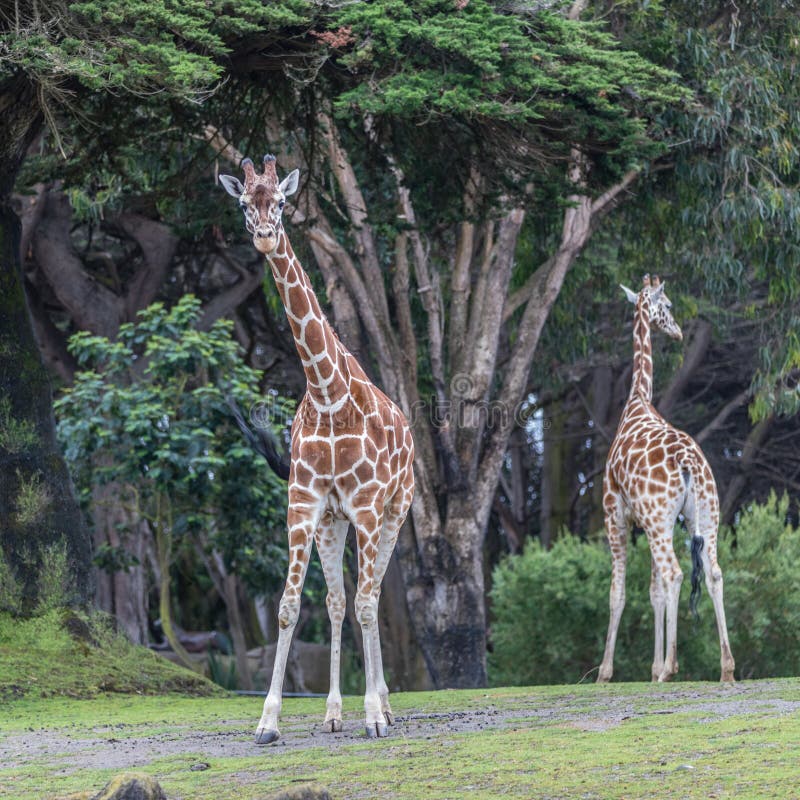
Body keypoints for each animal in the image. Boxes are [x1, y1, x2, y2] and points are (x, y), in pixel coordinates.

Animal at [220, 155, 415, 742]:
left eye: (282, 201)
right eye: (245, 202)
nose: (264, 235)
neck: (328, 393)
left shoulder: (369, 508)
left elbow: (369, 604)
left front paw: (374, 716)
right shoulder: (304, 505)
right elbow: (290, 607)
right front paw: (267, 722)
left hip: (395, 512)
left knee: (372, 594)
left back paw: (385, 707)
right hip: (334, 523)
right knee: (335, 601)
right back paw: (331, 714)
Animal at [597, 275, 735, 684]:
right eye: (670, 306)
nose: (676, 332)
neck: (637, 400)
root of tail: (689, 462)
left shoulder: (617, 513)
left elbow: (619, 590)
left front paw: (606, 672)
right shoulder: (655, 521)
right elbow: (653, 589)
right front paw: (653, 665)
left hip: (660, 520)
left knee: (675, 573)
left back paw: (671, 668)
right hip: (706, 513)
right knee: (714, 572)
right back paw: (726, 668)